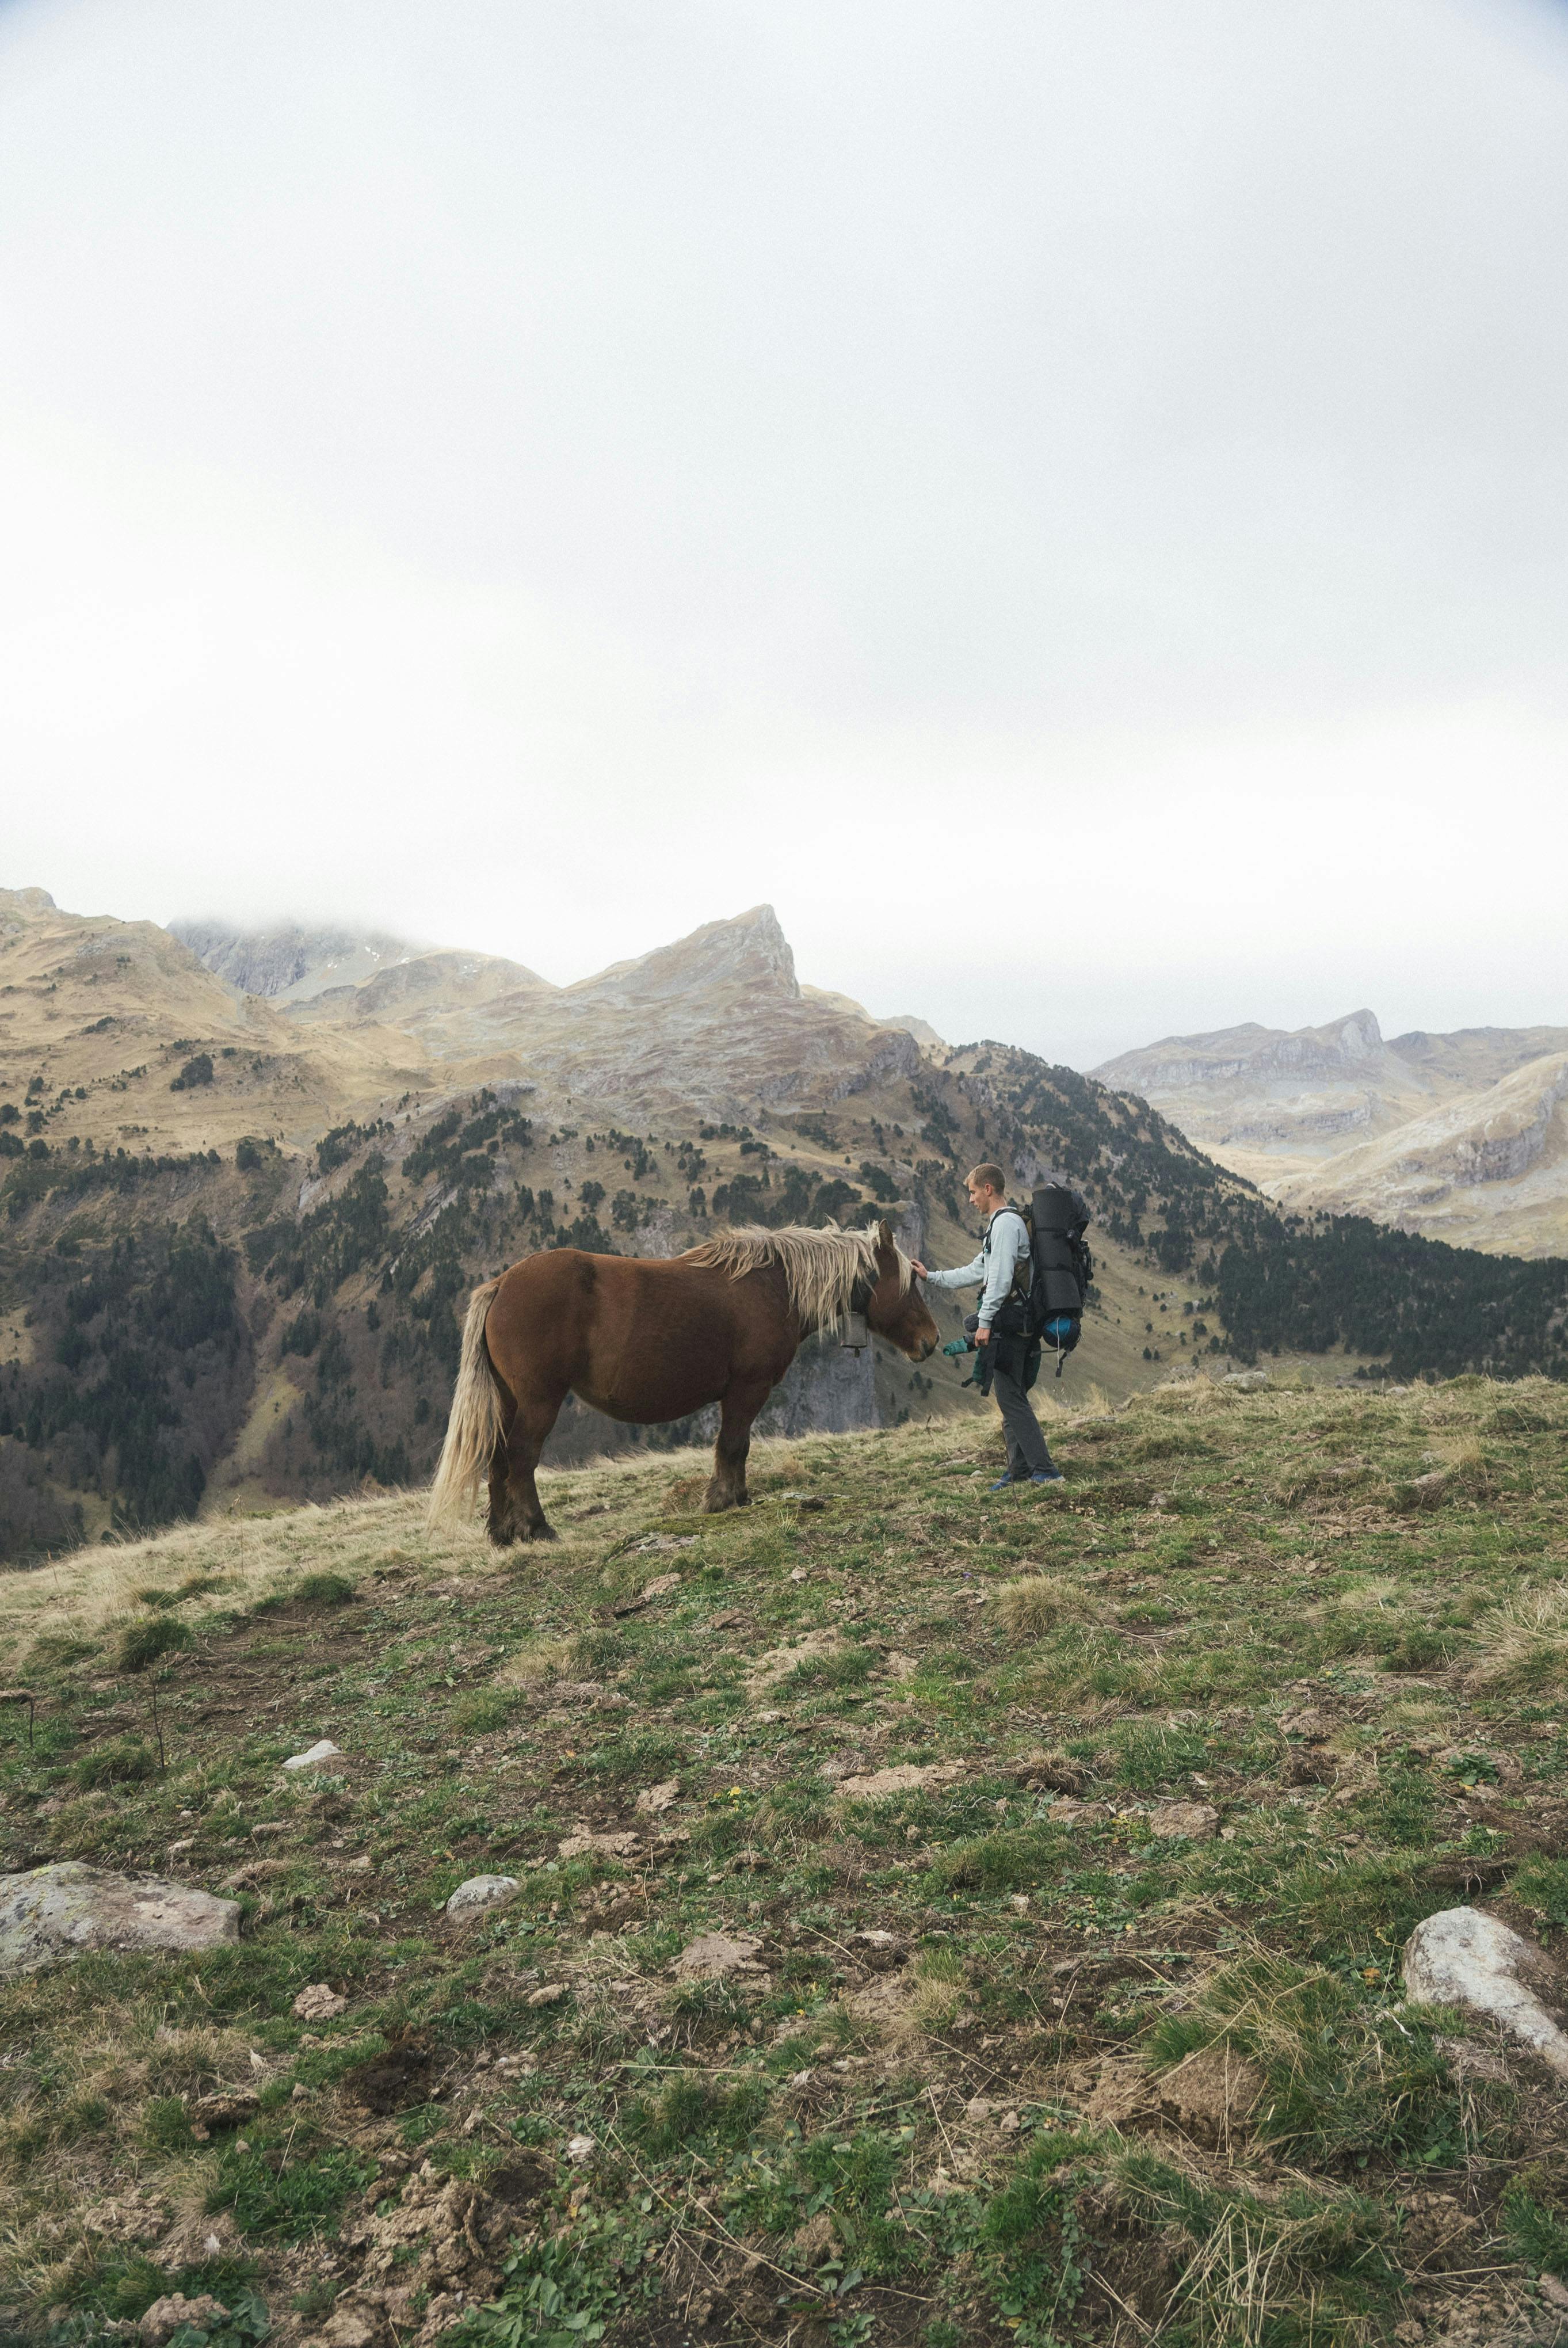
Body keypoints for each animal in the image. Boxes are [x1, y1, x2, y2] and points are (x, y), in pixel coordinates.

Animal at [428, 1219, 938, 1542]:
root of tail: (502, 1285)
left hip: (509, 1399)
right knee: (520, 1457)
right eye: (909, 1283)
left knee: (497, 1457)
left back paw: (501, 1533)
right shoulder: (747, 1389)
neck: (773, 1287)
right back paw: (535, 1528)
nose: (930, 1342)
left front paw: (731, 1498)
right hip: (538, 1401)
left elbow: (733, 1447)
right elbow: (733, 1445)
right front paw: (725, 1500)